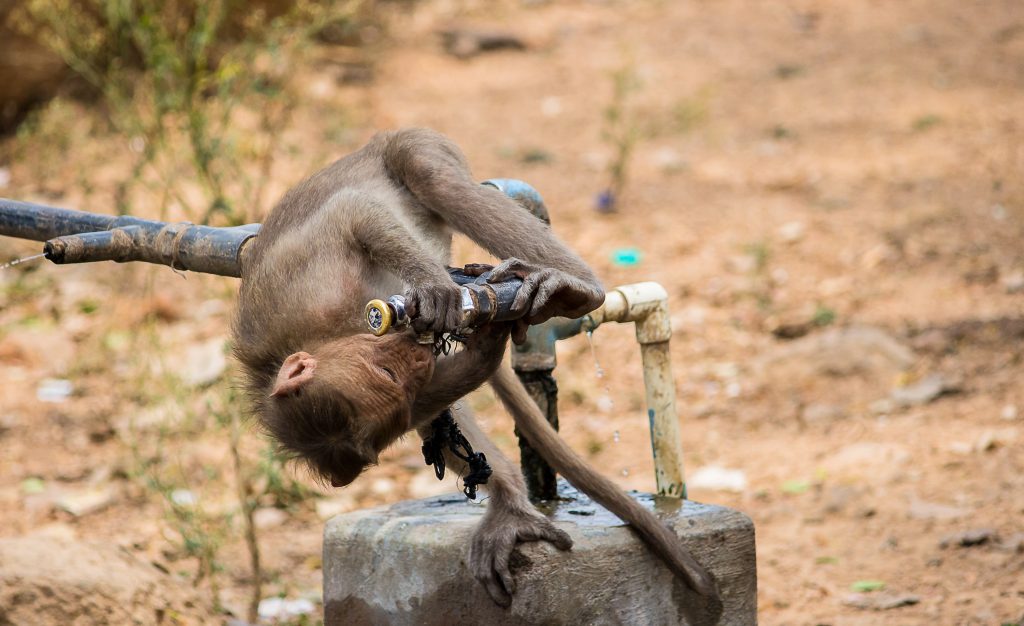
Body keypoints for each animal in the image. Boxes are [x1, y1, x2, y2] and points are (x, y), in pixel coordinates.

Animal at [231, 127, 716, 607]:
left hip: (416, 144)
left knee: (431, 176)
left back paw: (576, 288)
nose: (414, 358)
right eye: (395, 386)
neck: (325, 335)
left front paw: (435, 290)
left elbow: (354, 213)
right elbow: (436, 411)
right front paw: (482, 347)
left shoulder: (308, 292)